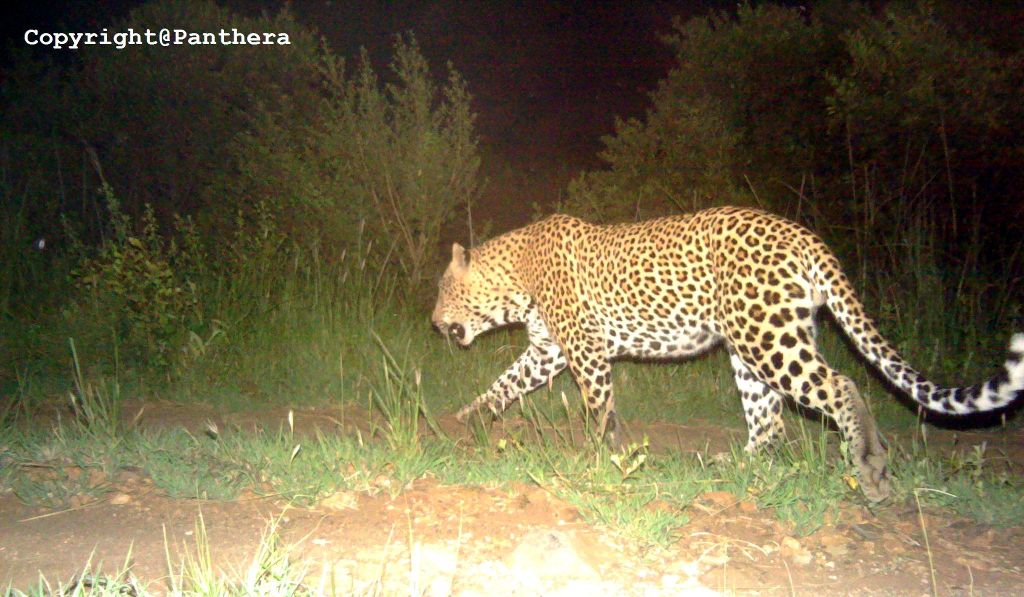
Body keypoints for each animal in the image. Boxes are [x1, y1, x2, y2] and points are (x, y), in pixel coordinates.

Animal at [431, 206, 1024, 501]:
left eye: (442, 289)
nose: (434, 322)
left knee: (839, 384)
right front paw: (468, 418)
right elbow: (504, 384)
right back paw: (735, 466)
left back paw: (869, 463)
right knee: (771, 421)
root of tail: (805, 236)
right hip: (754, 347)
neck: (514, 280)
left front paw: (600, 455)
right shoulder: (550, 350)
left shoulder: (584, 349)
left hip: (767, 338)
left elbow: (599, 409)